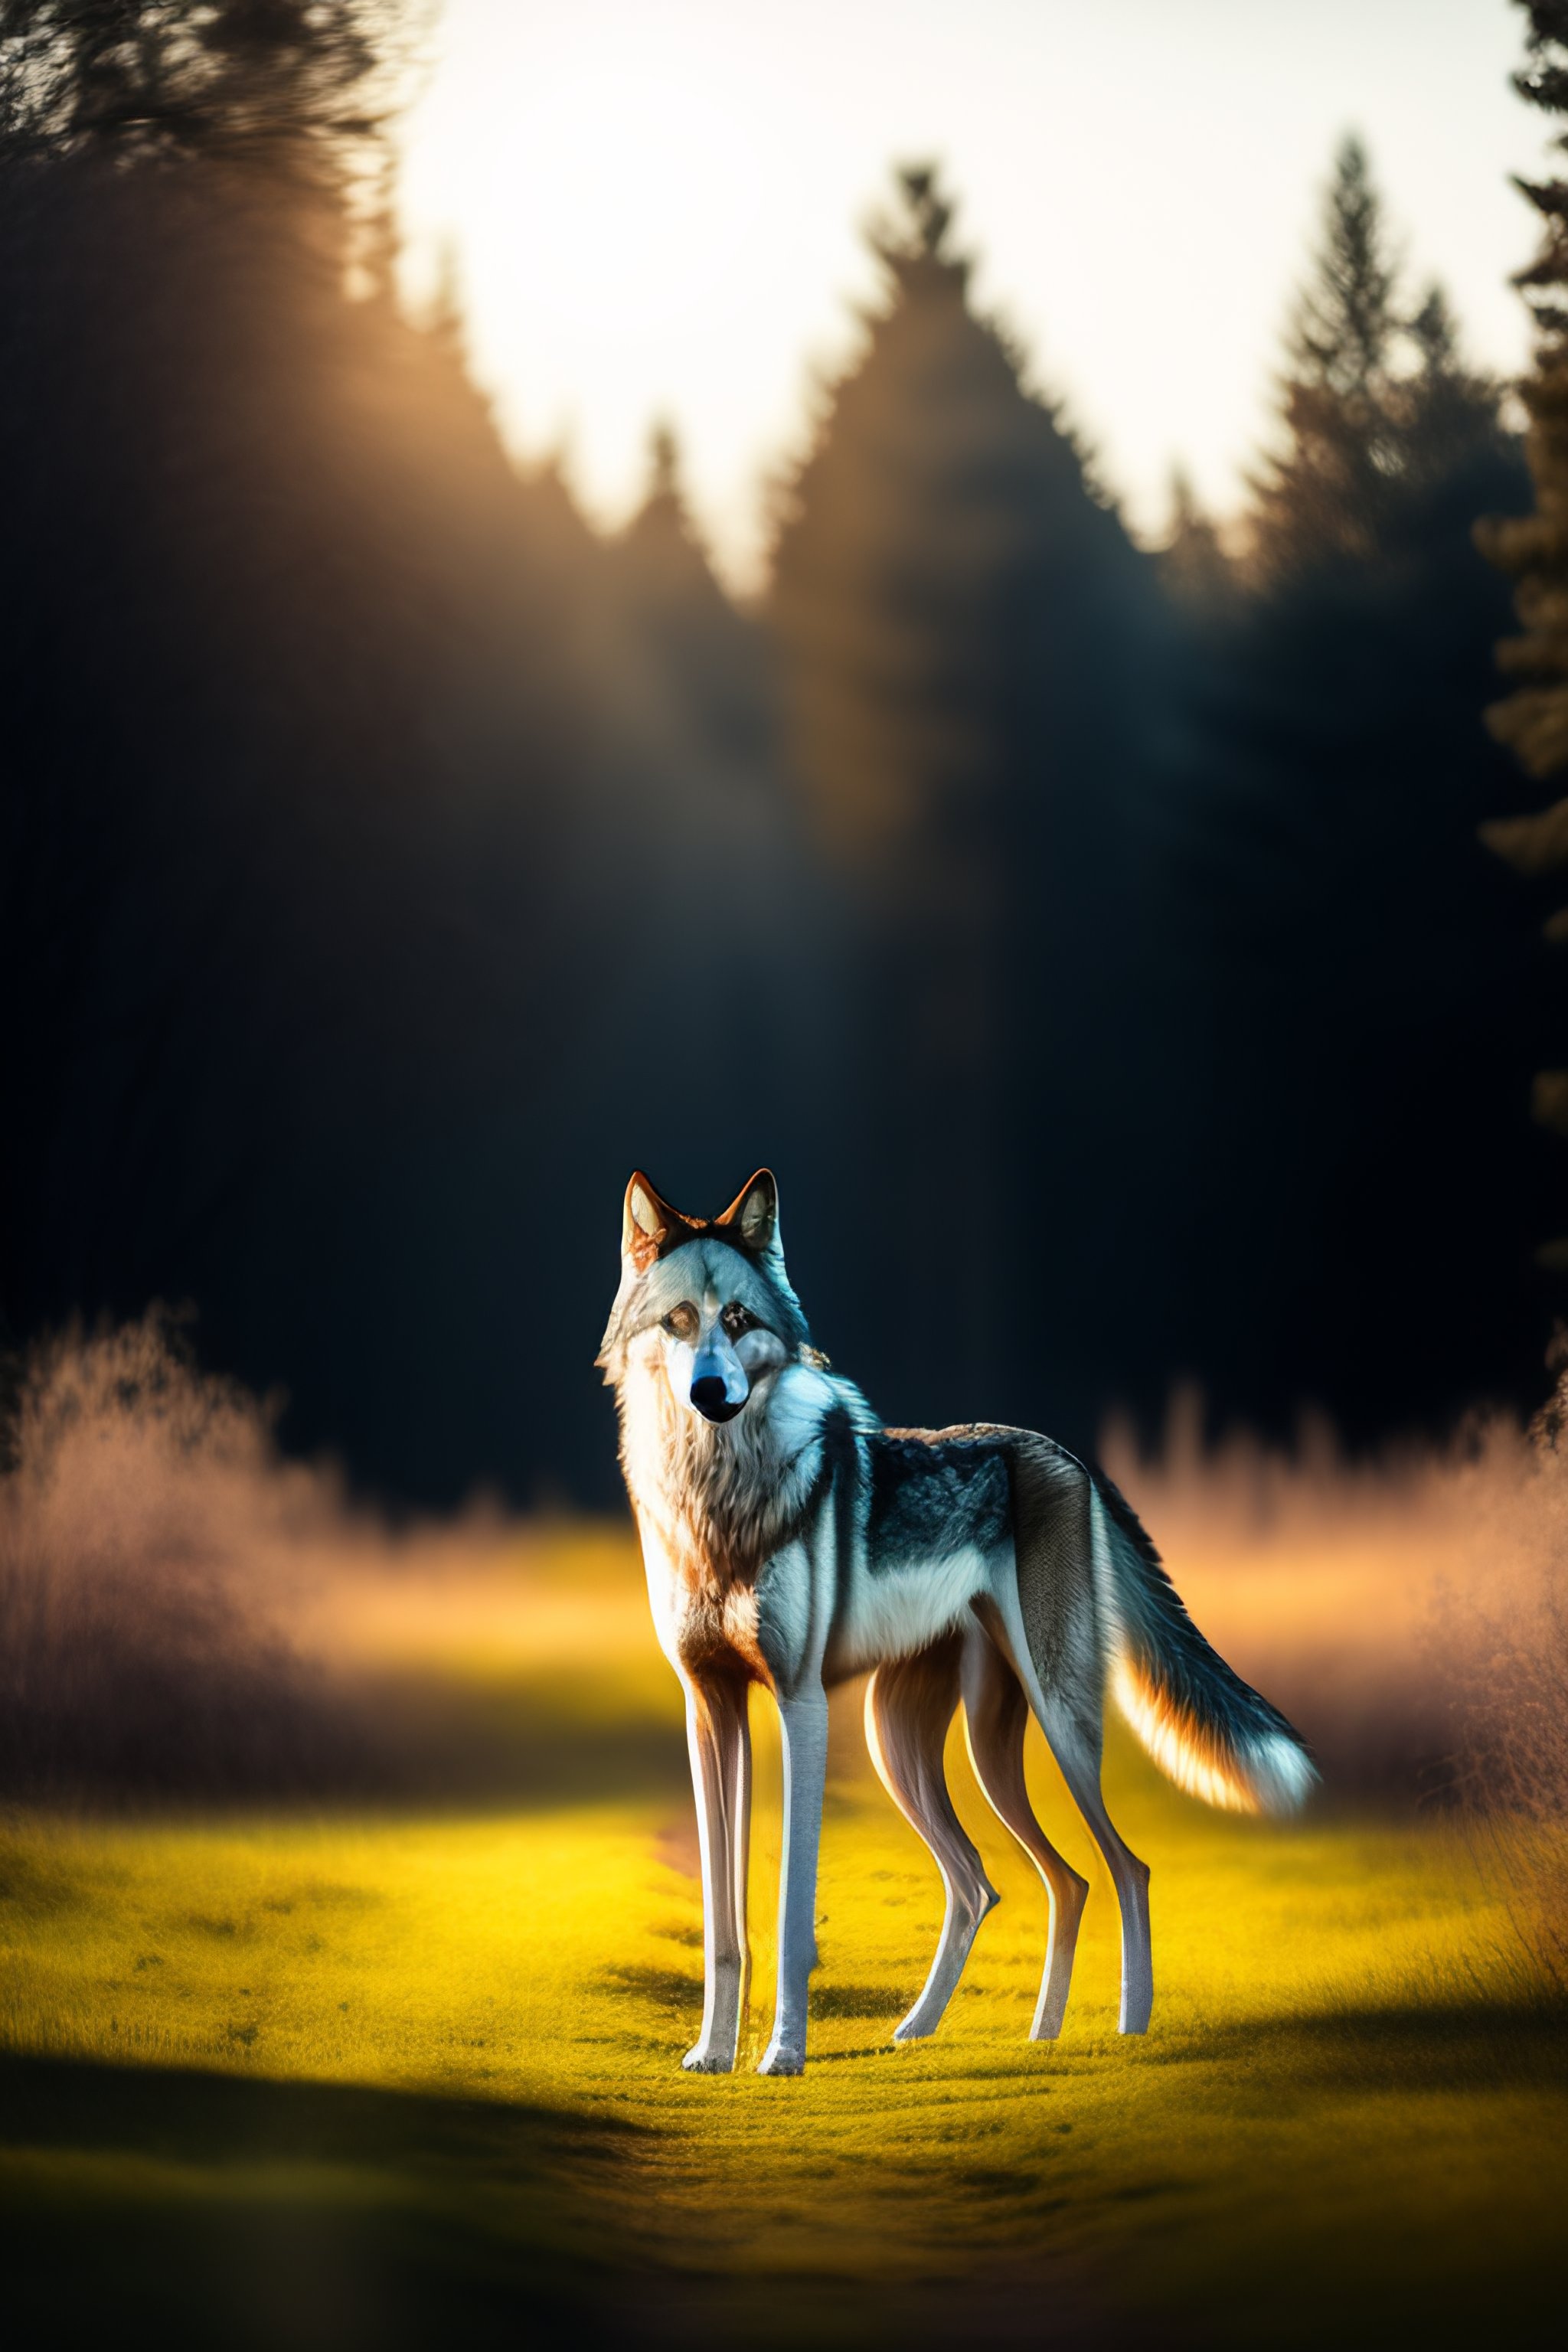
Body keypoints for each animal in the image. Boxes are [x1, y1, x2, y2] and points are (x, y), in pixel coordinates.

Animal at [598, 1167, 1315, 2077]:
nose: (710, 1393)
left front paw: (784, 2056)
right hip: (921, 1745)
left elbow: (790, 1914)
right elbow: (725, 1925)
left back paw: (1126, 2030)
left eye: (738, 1322)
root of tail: (1069, 1458)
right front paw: (712, 2055)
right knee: (1016, 1881)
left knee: (1123, 1869)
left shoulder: (801, 1708)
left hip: (1050, 1726)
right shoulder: (710, 1711)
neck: (716, 1503)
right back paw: (980, 2033)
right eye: (680, 1321)